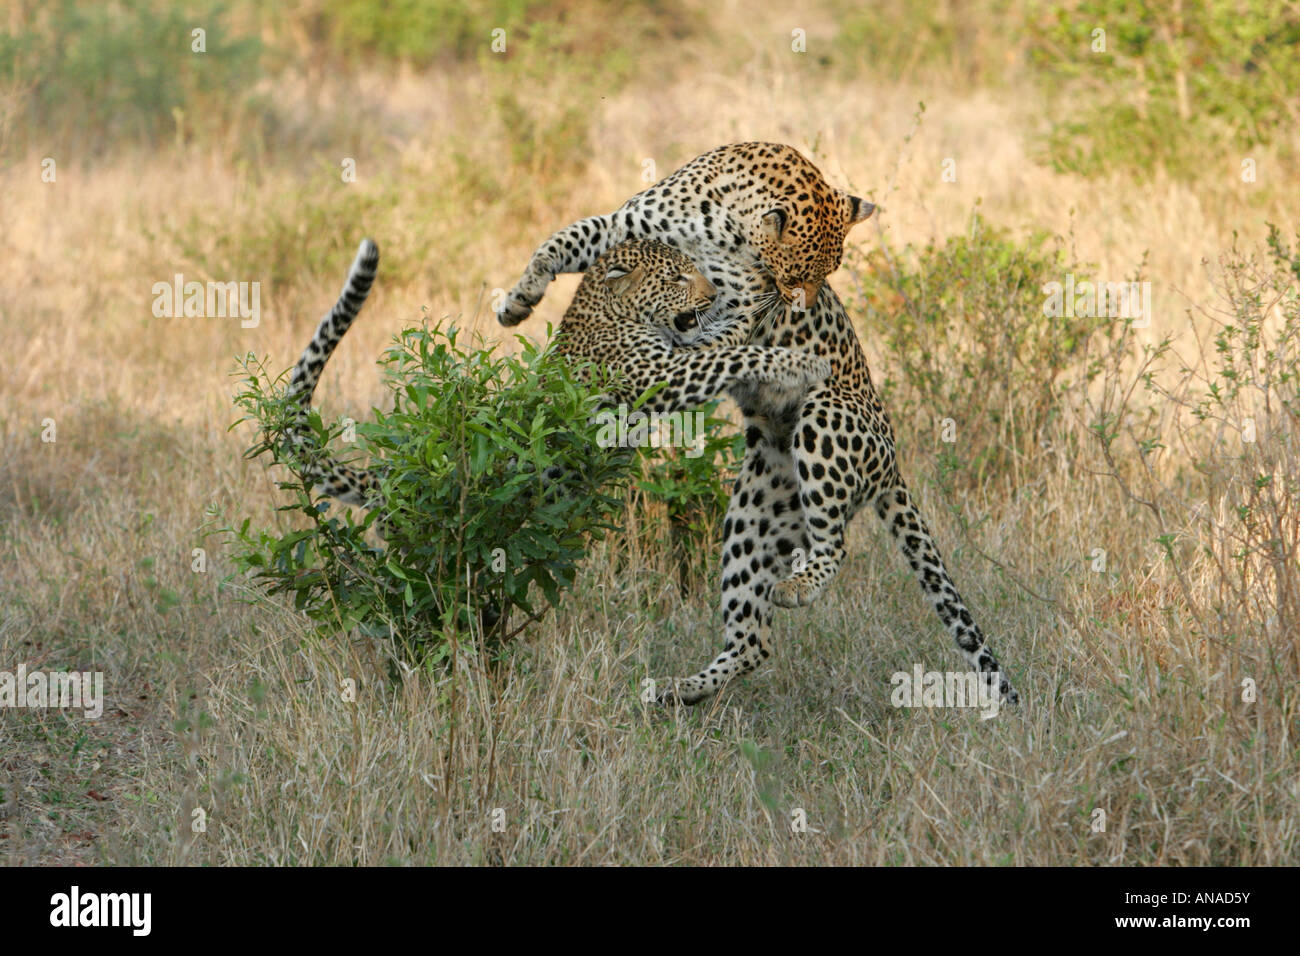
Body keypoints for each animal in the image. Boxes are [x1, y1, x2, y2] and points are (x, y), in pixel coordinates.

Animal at [498, 141, 1019, 707]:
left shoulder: (734, 301)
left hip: (825, 421)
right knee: (753, 638)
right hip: (757, 515)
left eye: (824, 273)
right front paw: (519, 298)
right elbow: (564, 239)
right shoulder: (625, 227)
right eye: (799, 271)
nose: (801, 302)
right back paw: (680, 690)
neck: (721, 214)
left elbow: (723, 343)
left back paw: (794, 588)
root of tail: (893, 462)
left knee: (834, 546)